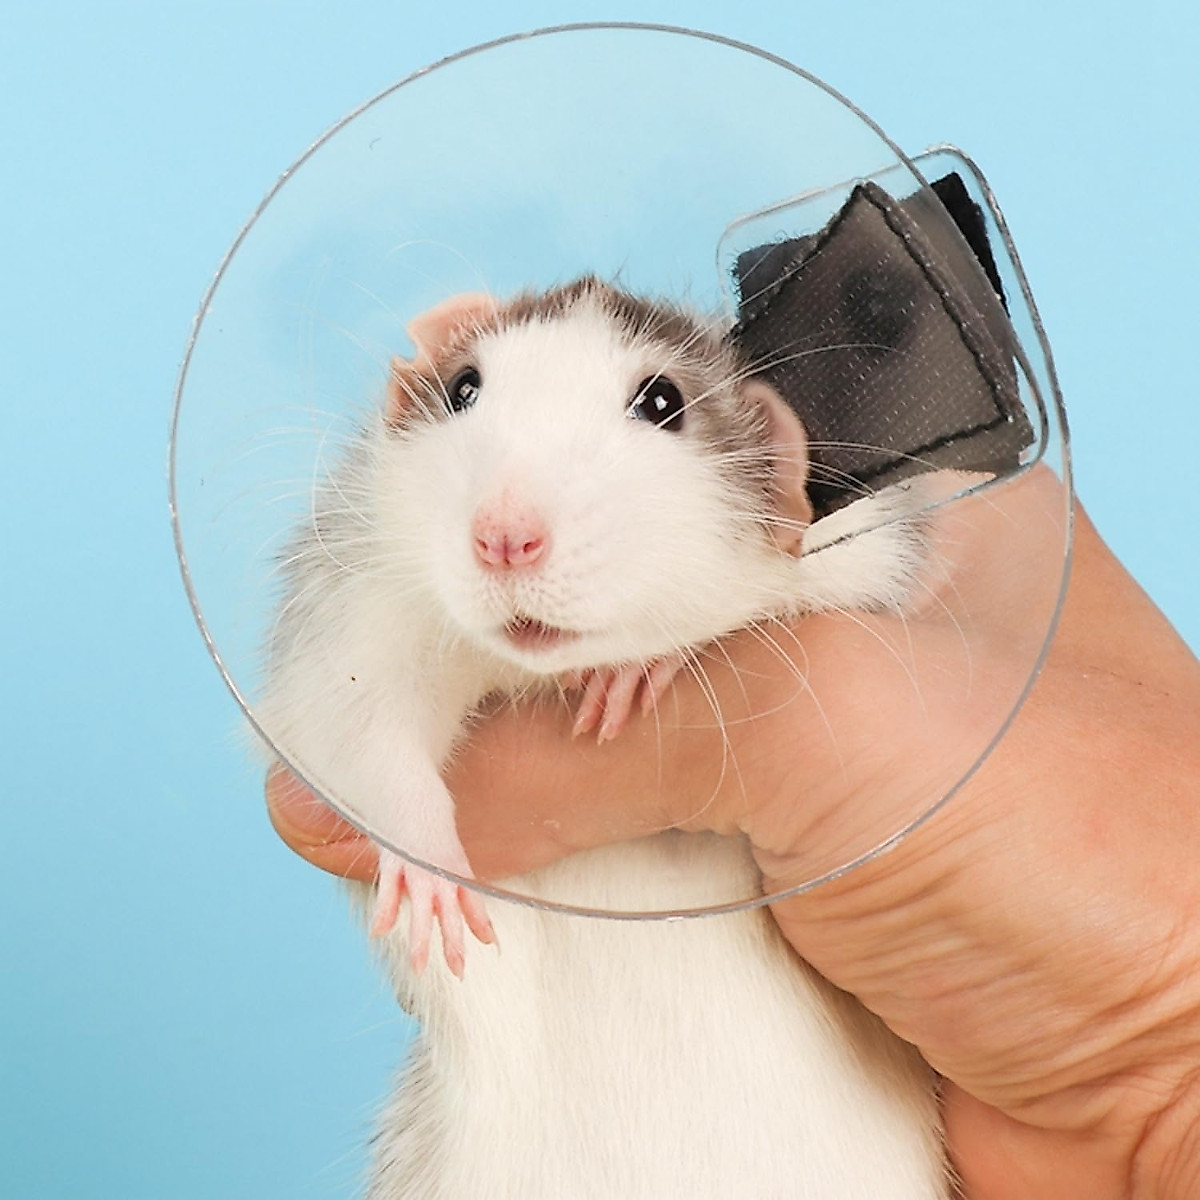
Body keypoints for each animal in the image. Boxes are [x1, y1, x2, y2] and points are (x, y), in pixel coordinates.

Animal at [260, 277, 949, 1198]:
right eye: (464, 389)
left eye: (661, 403)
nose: (505, 536)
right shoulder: (360, 605)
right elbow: (352, 726)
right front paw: (425, 860)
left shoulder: (860, 554)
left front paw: (643, 664)